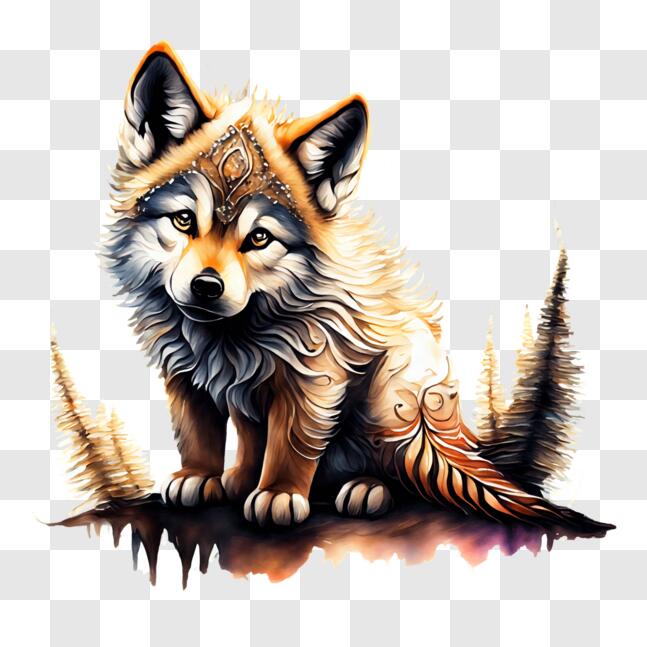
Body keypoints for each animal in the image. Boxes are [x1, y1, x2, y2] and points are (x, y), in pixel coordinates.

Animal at [102, 42, 611, 534]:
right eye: (184, 220)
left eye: (259, 237)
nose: (206, 286)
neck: (228, 336)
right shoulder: (185, 375)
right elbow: (198, 435)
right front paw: (200, 477)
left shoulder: (315, 376)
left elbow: (291, 444)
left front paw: (279, 493)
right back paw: (240, 479)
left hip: (393, 392)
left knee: (398, 472)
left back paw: (366, 488)